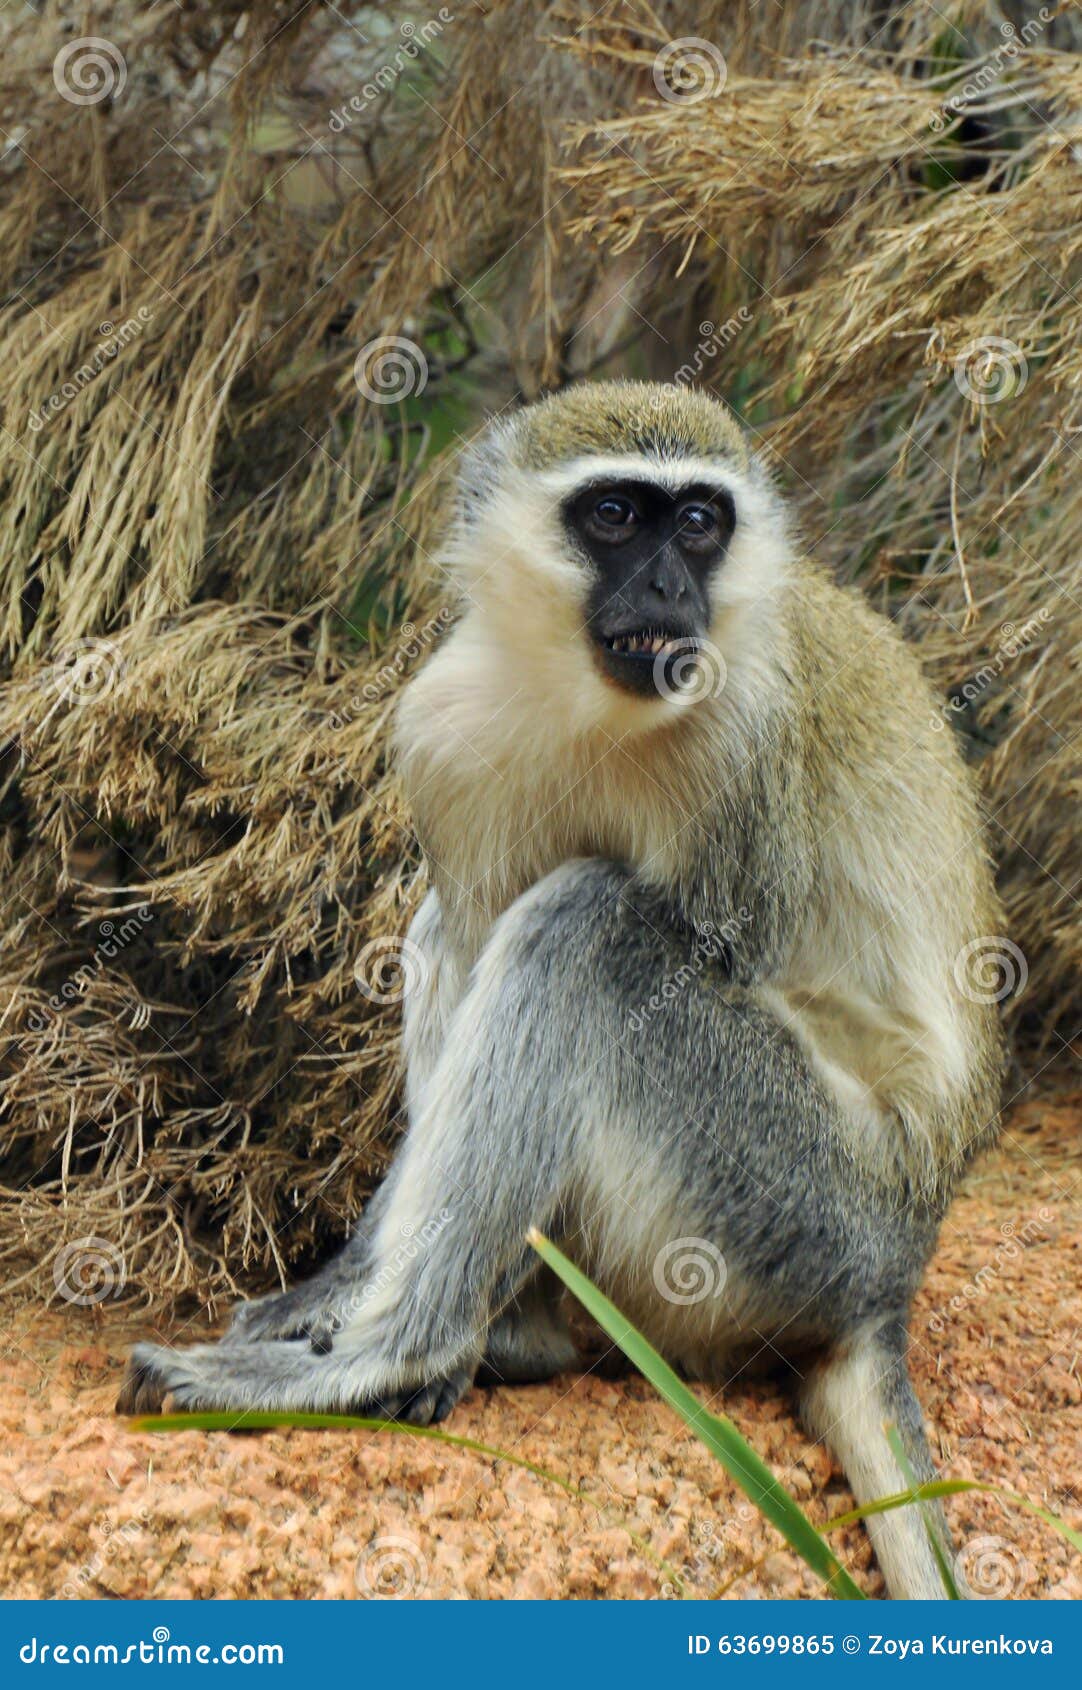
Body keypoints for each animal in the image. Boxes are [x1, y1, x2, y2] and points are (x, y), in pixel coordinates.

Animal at [118, 381, 1006, 1600]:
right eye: (616, 515)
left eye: (699, 524)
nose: (671, 589)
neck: (591, 701)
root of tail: (890, 1289)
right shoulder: (440, 731)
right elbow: (463, 931)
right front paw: (330, 1288)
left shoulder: (741, 741)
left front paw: (356, 1337)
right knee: (467, 932)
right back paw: (498, 1337)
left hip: (805, 1210)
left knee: (587, 931)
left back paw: (391, 1359)